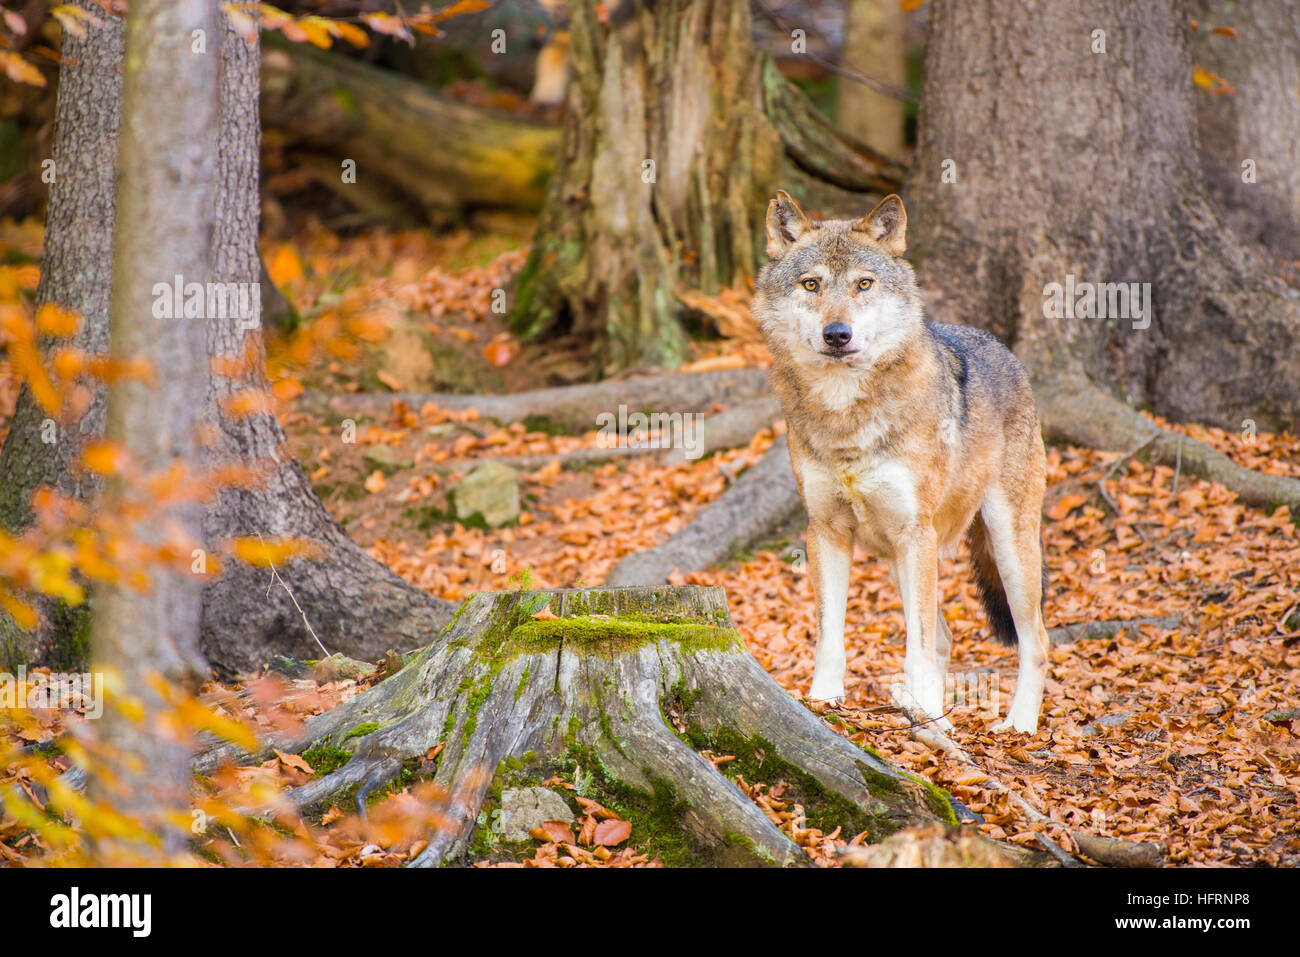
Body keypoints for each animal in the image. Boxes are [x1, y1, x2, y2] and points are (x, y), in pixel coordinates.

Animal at [759, 191, 1050, 738]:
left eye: (863, 284)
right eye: (811, 284)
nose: (837, 334)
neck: (847, 417)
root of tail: (1006, 350)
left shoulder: (915, 532)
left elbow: (914, 646)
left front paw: (923, 715)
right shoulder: (825, 530)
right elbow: (830, 635)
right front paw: (822, 701)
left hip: (1003, 546)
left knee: (1036, 641)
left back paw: (1017, 725)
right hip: (906, 557)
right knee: (944, 637)